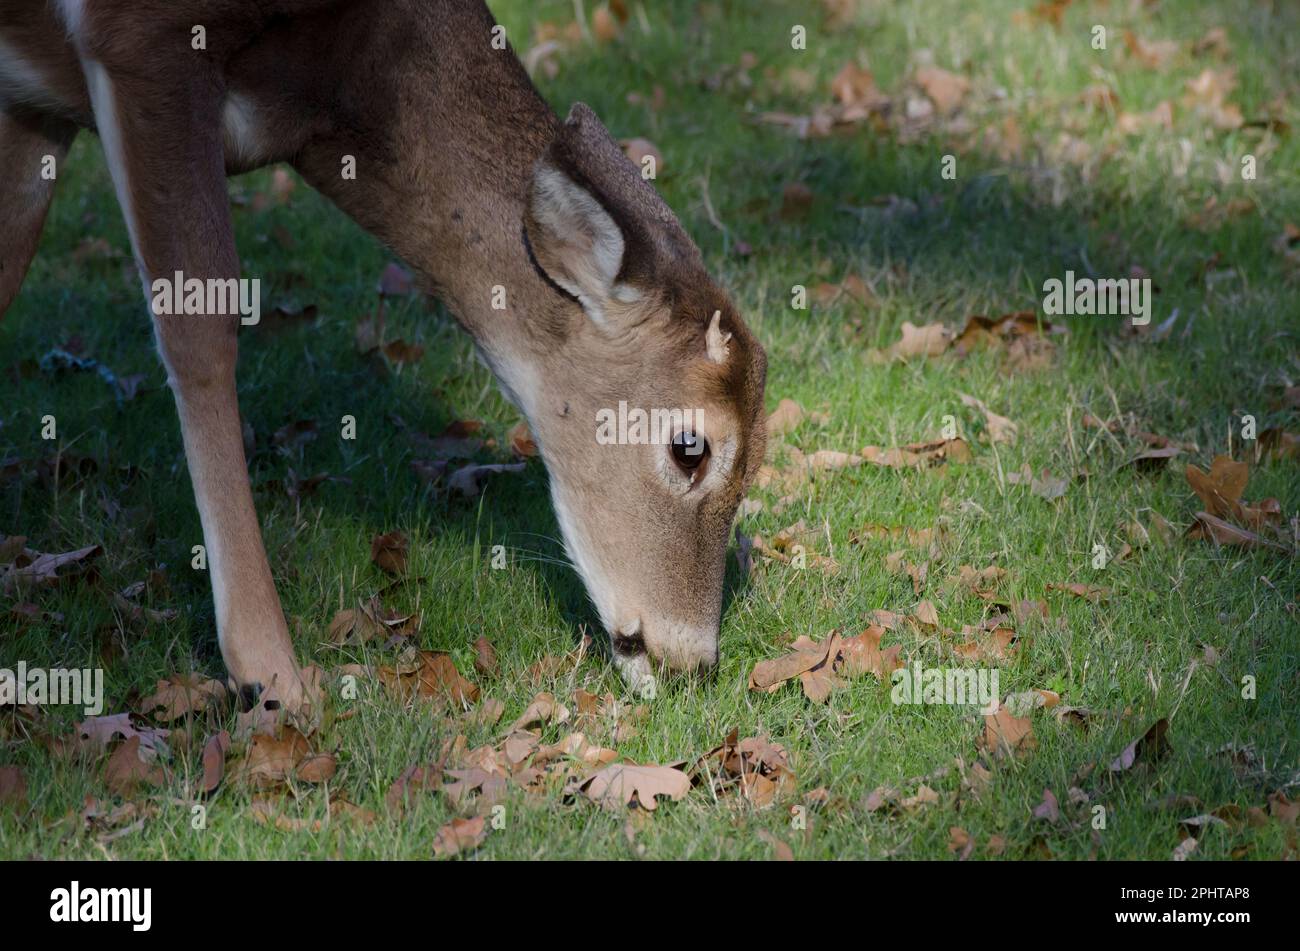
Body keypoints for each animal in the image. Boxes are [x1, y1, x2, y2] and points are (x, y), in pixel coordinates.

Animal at [0, 0, 768, 715]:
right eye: (690, 447)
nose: (691, 660)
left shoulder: (29, 101)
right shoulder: (137, 42)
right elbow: (202, 328)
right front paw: (272, 672)